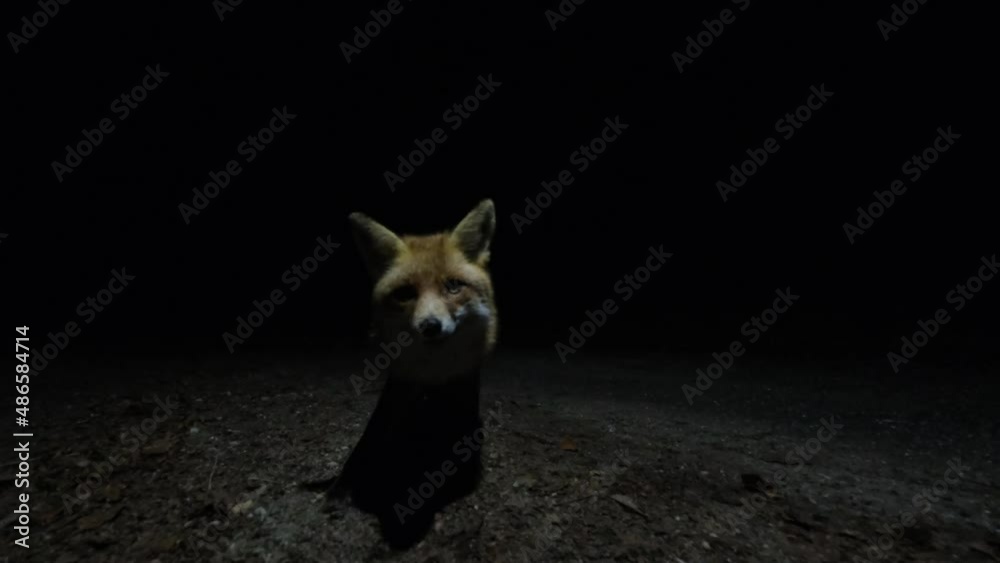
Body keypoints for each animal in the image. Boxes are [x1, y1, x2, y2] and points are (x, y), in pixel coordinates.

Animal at [325, 199, 498, 548]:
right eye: (405, 293)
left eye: (453, 286)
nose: (430, 326)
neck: (433, 371)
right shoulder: (400, 384)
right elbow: (370, 437)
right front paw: (343, 485)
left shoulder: (461, 383)